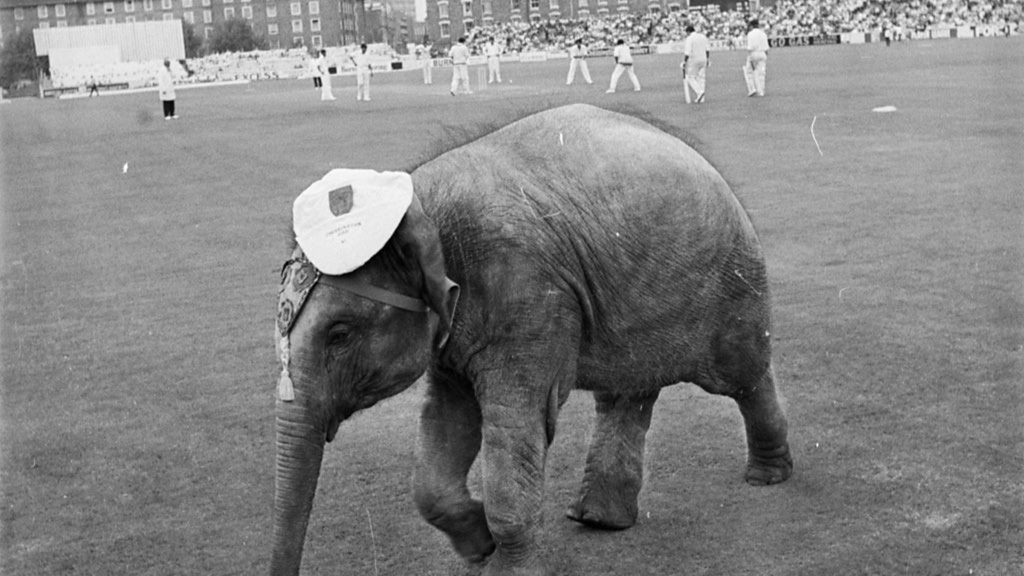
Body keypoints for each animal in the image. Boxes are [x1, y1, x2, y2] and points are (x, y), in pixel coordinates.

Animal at [271, 103, 793, 575]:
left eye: (339, 334)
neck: (419, 203)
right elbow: (448, 427)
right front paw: (479, 546)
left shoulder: (528, 295)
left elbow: (514, 419)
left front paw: (505, 564)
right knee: (625, 395)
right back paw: (598, 518)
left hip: (730, 280)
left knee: (742, 374)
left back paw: (767, 476)